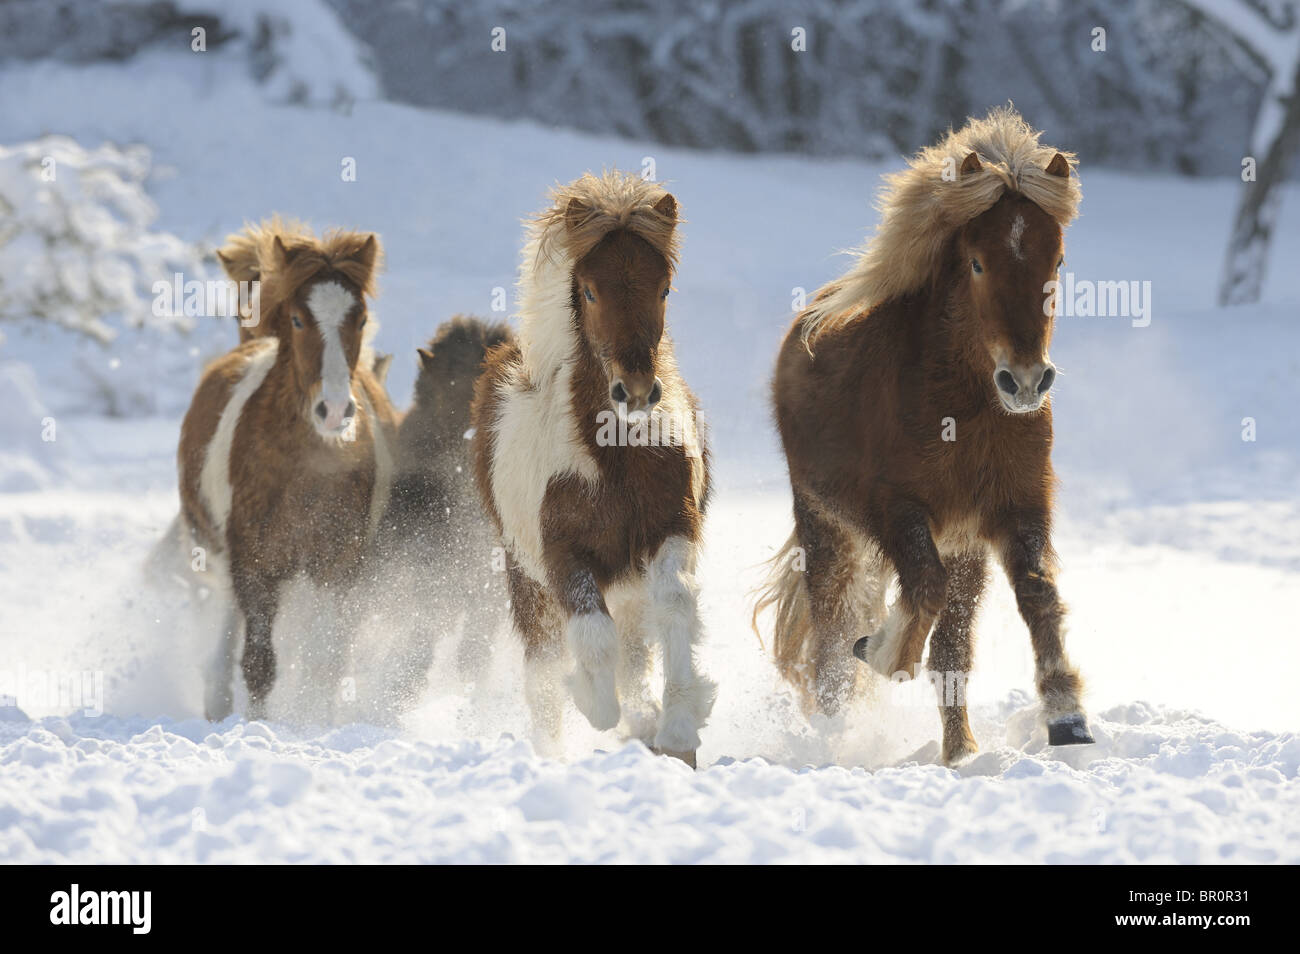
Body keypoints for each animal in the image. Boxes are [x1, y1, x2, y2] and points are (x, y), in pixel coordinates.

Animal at [178, 219, 398, 721]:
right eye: (298, 320)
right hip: (222, 554)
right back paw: (217, 705)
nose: (334, 411)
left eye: (360, 319)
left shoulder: (338, 566)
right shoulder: (256, 564)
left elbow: (325, 663)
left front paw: (313, 725)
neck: (306, 472)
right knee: (228, 629)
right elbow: (259, 663)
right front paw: (257, 728)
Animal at [470, 171, 716, 766]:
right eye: (589, 290)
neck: (610, 459)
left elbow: (675, 604)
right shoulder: (562, 555)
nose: (637, 391)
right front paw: (595, 702)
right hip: (526, 580)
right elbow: (590, 636)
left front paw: (677, 726)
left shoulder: (672, 527)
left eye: (663, 288)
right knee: (544, 669)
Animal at [755, 107, 1093, 765]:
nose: (1026, 381)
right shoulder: (897, 511)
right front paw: (882, 651)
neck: (965, 411)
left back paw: (960, 752)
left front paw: (1069, 718)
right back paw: (834, 735)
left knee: (950, 648)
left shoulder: (1017, 507)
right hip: (828, 527)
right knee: (830, 646)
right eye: (978, 263)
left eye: (1058, 263)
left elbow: (1037, 595)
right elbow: (919, 594)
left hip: (963, 548)